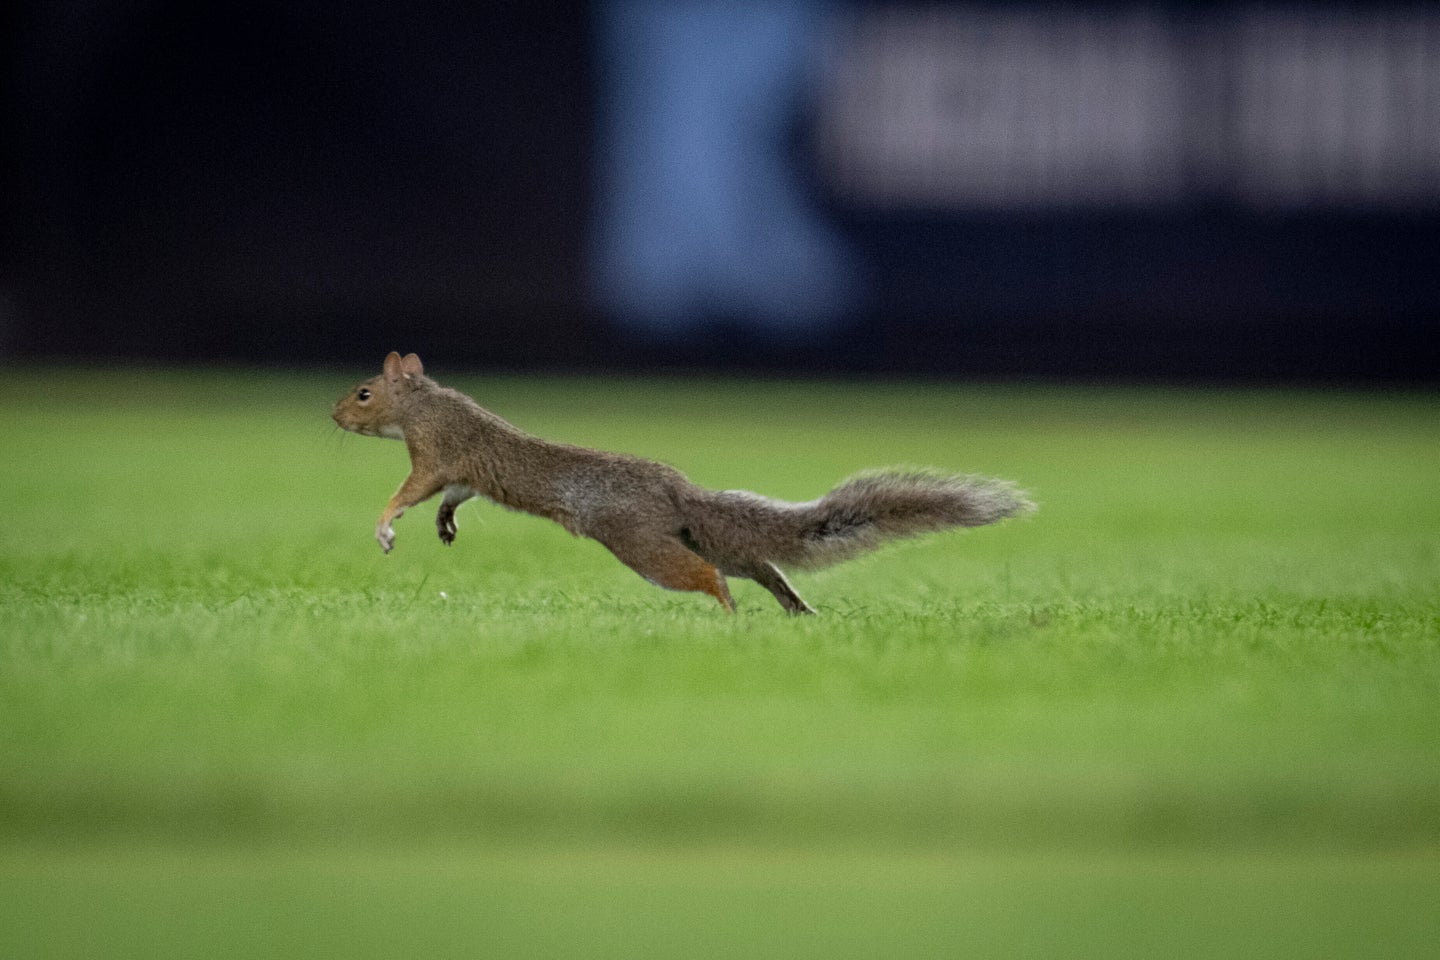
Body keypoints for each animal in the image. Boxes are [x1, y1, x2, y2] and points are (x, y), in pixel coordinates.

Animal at [332, 352, 1033, 614]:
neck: (424, 401)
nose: (333, 416)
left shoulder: (434, 454)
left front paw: (386, 526)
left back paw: (729, 613)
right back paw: (796, 611)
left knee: (711, 576)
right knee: (758, 563)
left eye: (364, 393)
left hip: (641, 543)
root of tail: (677, 492)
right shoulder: (459, 470)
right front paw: (445, 525)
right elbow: (455, 495)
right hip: (699, 535)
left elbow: (410, 490)